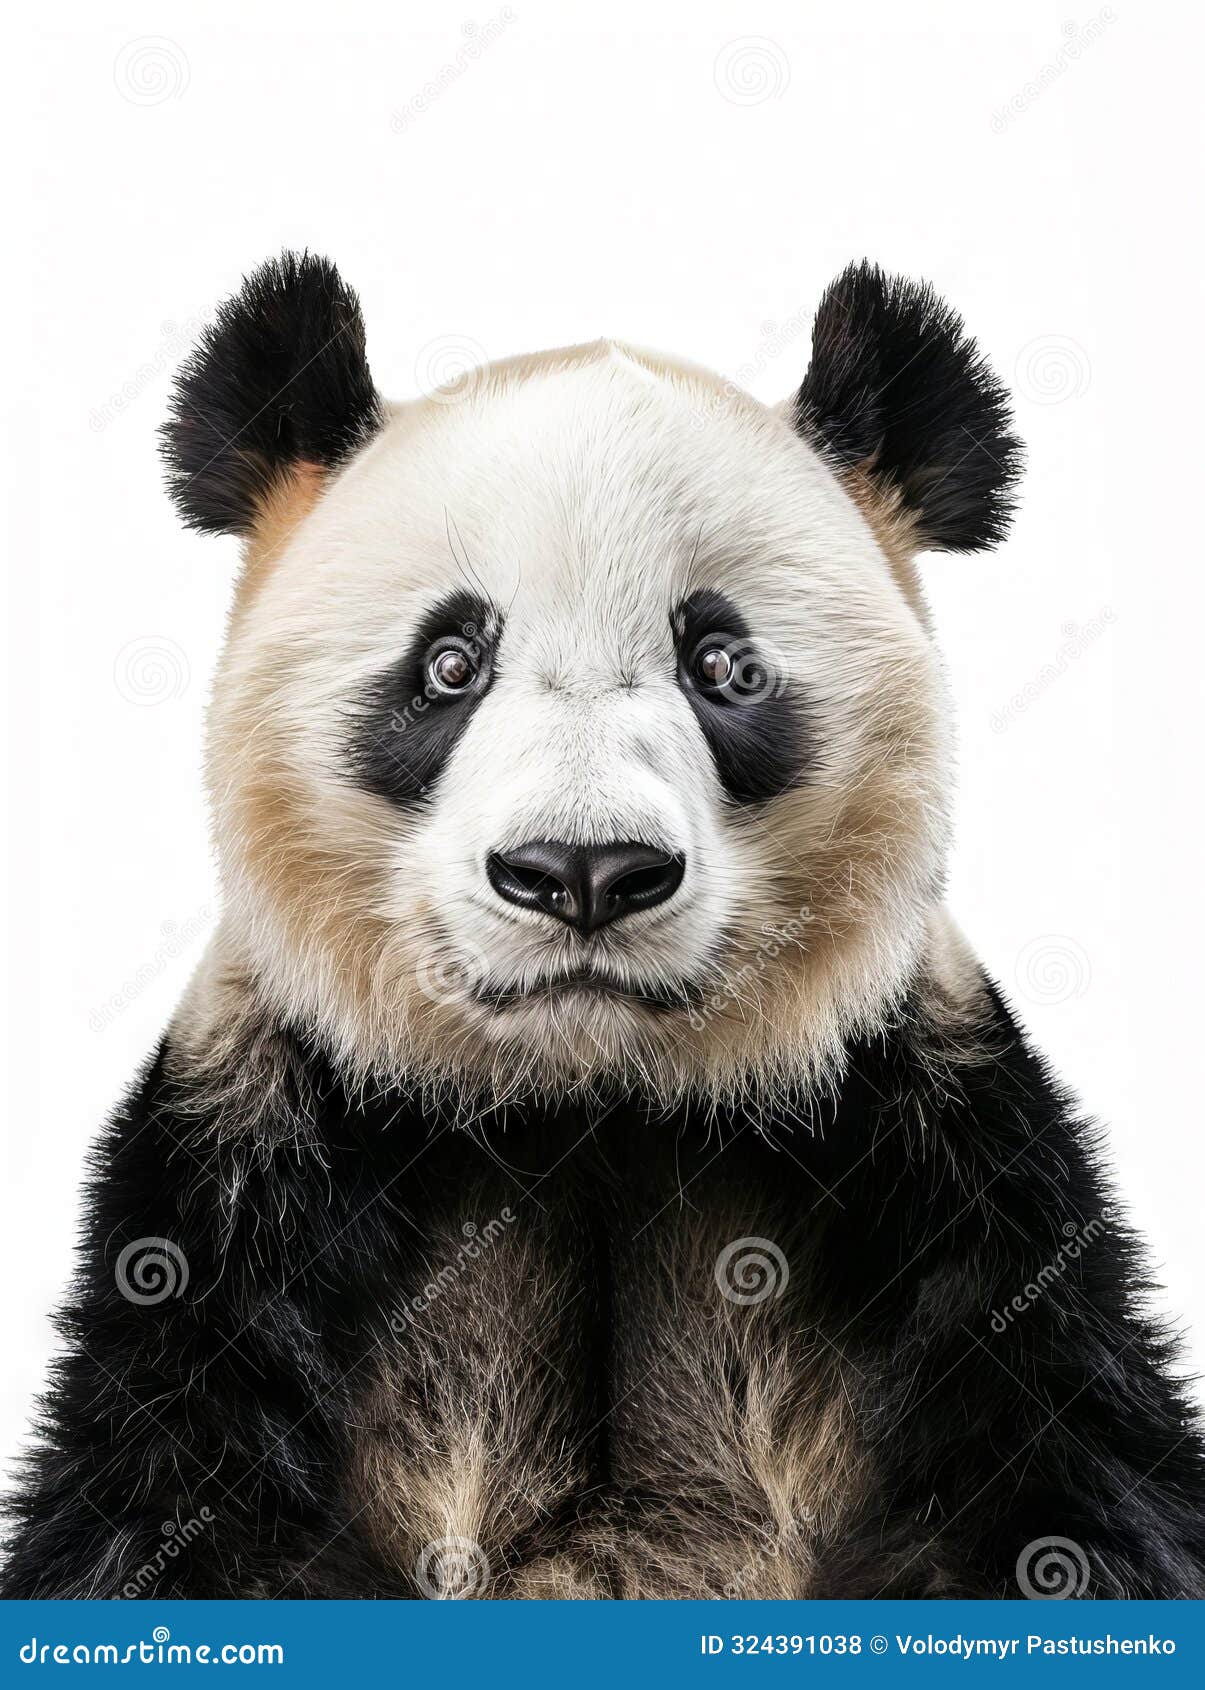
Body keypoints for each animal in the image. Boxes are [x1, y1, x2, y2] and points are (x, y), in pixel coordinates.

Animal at [3, 253, 1204, 1601]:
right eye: (450, 662)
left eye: (723, 664)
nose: (582, 872)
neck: (586, 1098)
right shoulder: (243, 1160)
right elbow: (166, 1499)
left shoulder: (936, 1144)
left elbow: (1060, 1470)